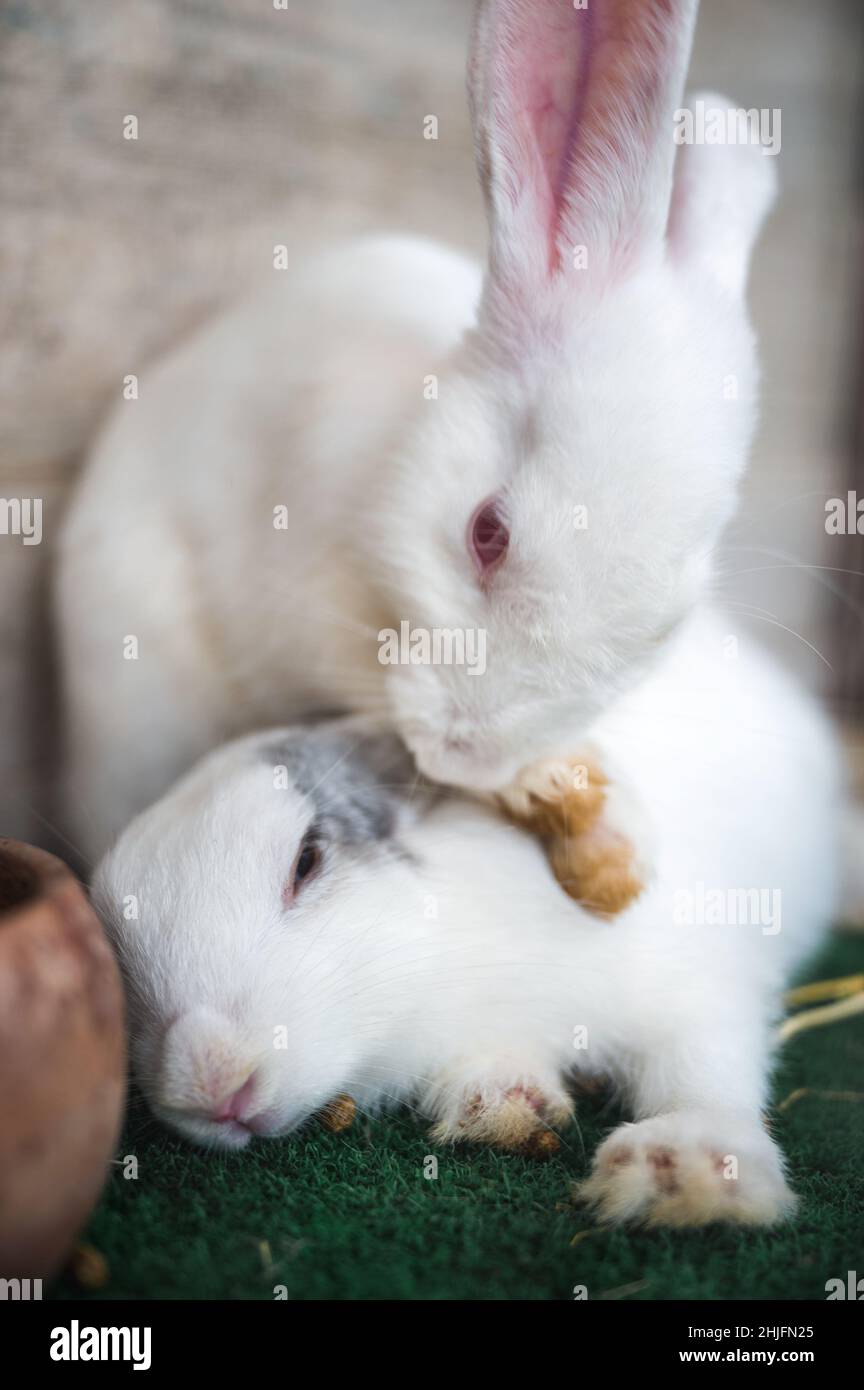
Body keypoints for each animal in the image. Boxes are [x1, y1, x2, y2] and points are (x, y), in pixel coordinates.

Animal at [91, 609, 841, 1228]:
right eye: (116, 945)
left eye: (307, 858)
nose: (211, 1083)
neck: (444, 966)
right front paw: (502, 1101)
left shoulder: (693, 989)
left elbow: (702, 1072)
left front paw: (682, 1173)